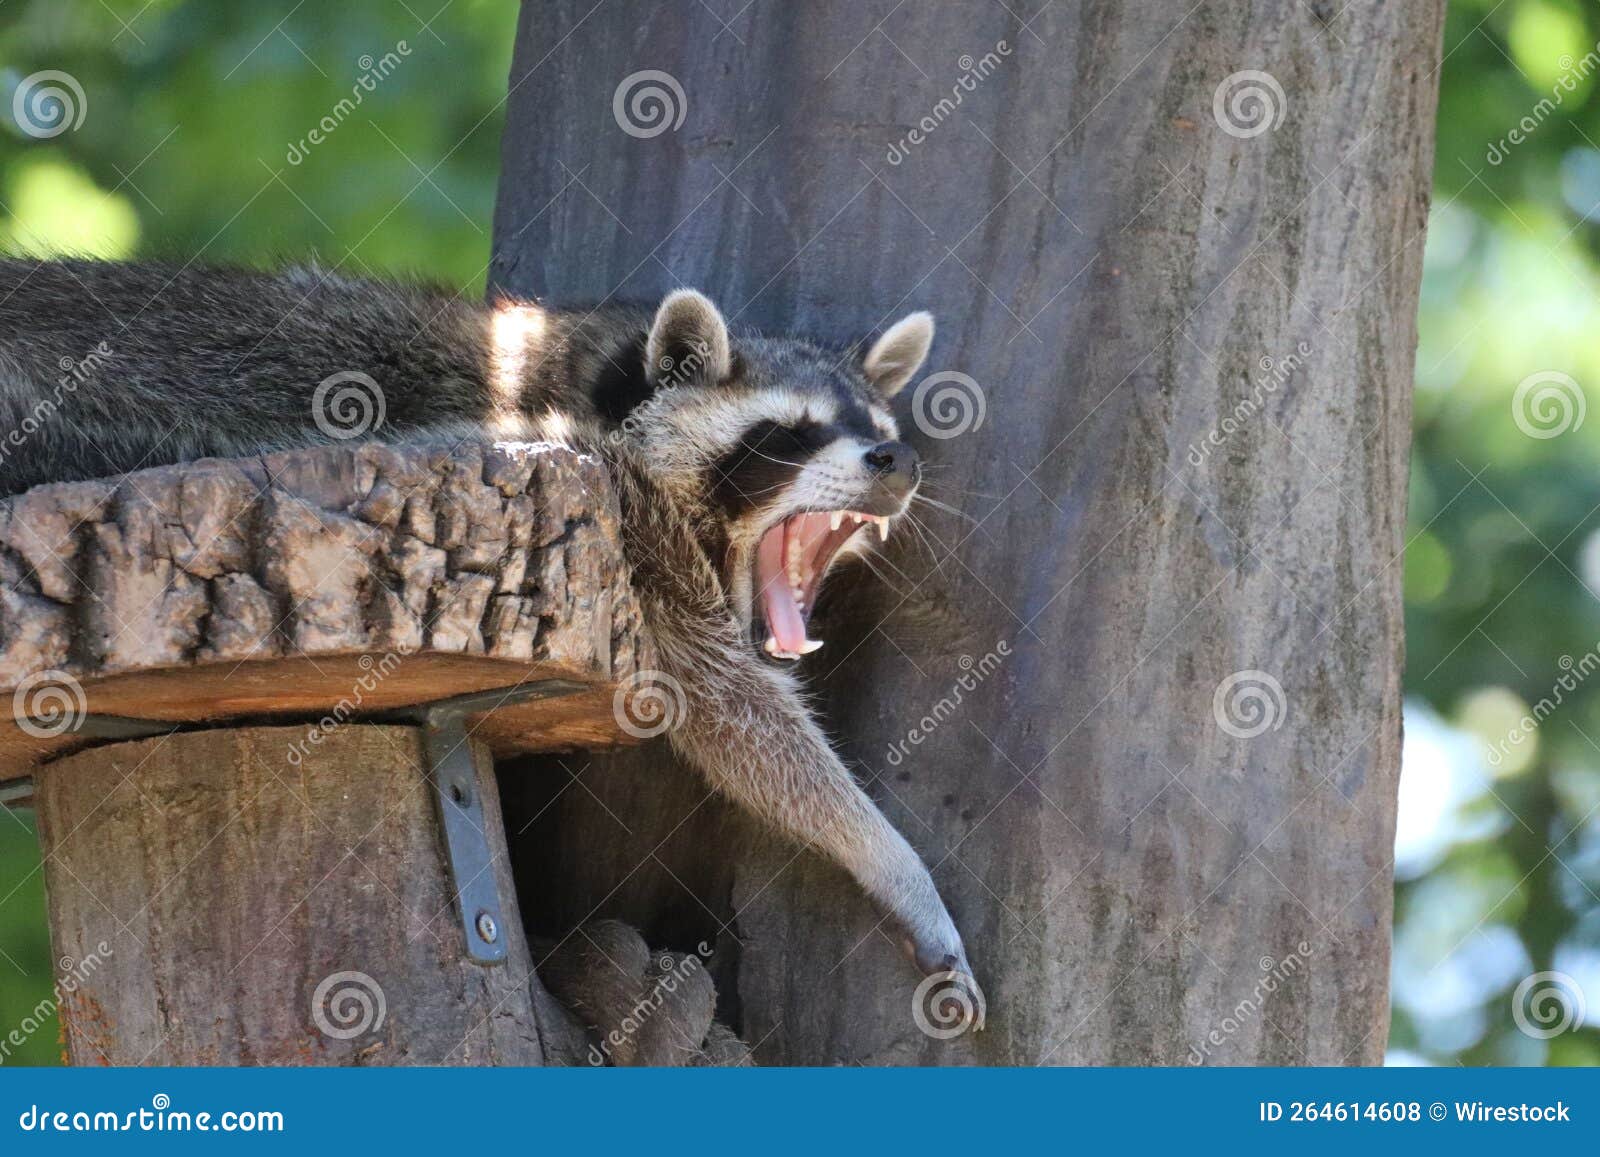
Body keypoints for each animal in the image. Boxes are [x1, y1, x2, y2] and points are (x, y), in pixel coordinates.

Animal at [0, 258, 977, 1011]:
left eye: (878, 428)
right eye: (790, 434)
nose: (895, 462)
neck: (585, 367)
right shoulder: (602, 494)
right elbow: (731, 706)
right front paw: (886, 857)